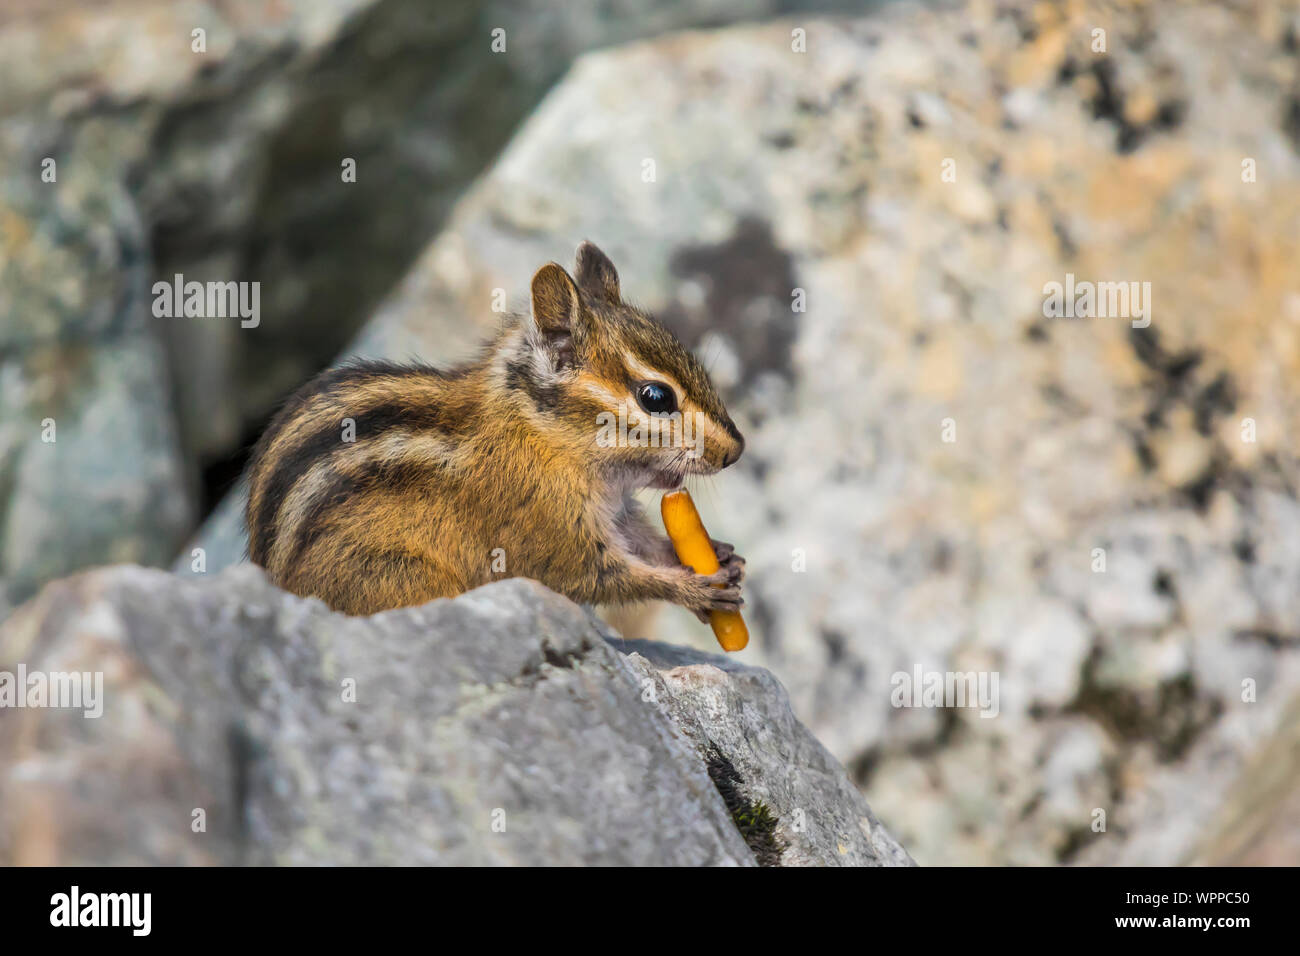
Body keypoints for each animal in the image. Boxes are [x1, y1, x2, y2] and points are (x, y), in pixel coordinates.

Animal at [245, 241, 747, 618]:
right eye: (655, 397)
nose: (736, 451)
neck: (540, 434)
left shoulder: (615, 511)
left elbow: (642, 541)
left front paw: (719, 554)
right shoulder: (550, 533)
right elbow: (609, 576)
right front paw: (693, 589)